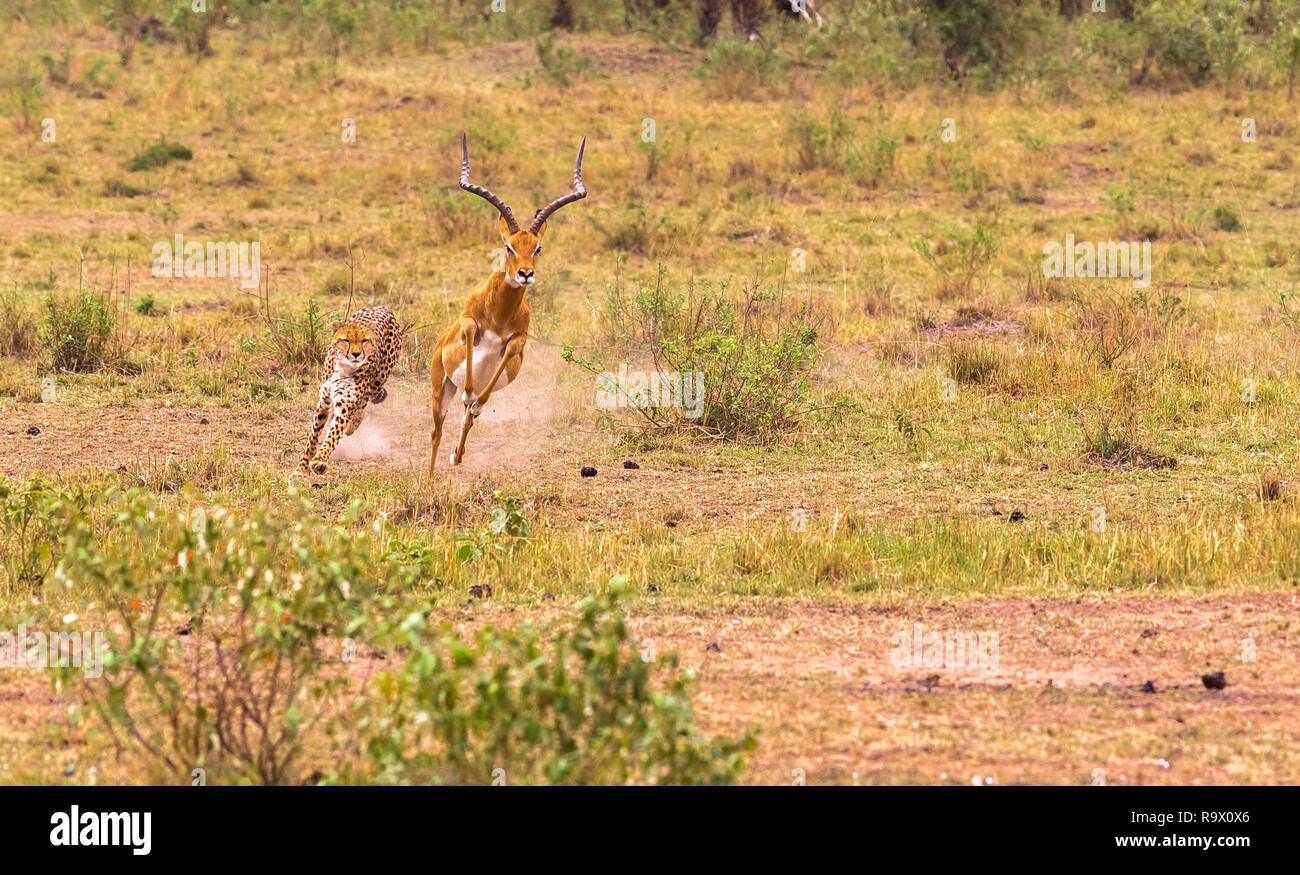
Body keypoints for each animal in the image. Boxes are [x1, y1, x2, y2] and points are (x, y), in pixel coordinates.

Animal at [291, 305, 402, 477]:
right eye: (346, 340)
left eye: (365, 340)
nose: (356, 354)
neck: (344, 367)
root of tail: (383, 307)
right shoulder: (323, 403)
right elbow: (313, 437)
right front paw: (302, 469)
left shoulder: (345, 404)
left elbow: (334, 433)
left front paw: (319, 461)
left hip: (378, 381)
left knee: (365, 400)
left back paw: (353, 423)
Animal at [425, 133, 588, 478]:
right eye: (509, 246)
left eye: (538, 248)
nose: (525, 274)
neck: (498, 316)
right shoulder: (469, 323)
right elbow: (470, 333)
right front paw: (470, 392)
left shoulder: (518, 341)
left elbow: (502, 361)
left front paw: (477, 401)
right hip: (440, 386)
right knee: (436, 430)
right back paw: (429, 479)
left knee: (466, 422)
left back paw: (457, 455)